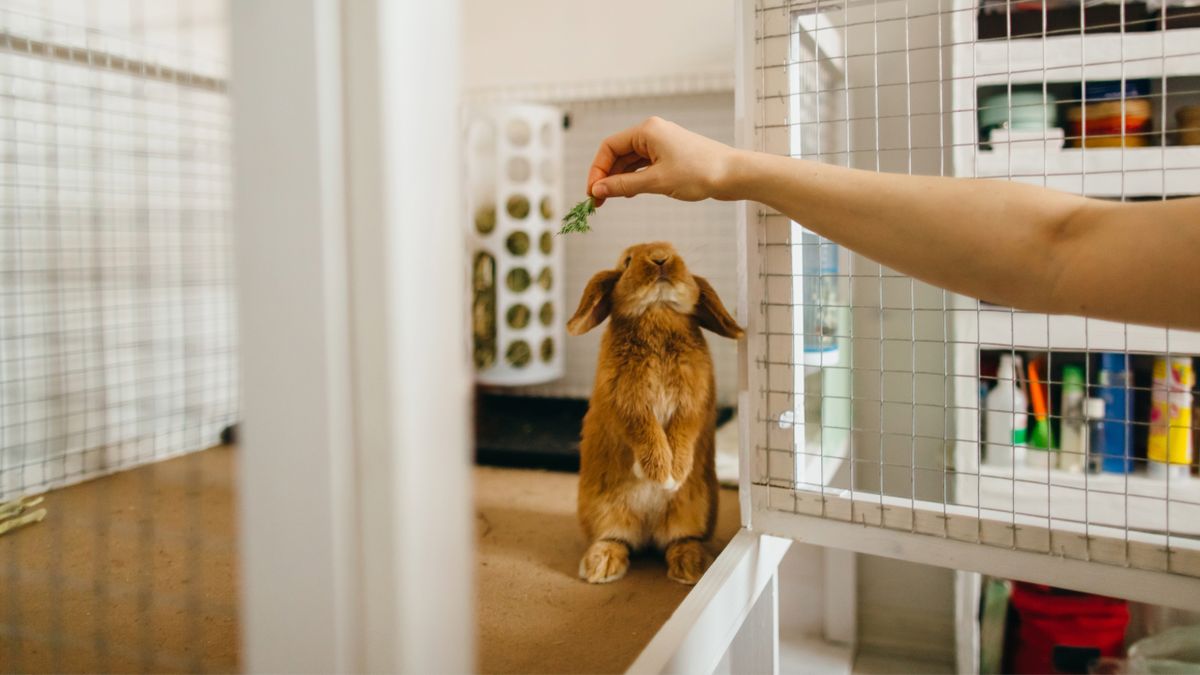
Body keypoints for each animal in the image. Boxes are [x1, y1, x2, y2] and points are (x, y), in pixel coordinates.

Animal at [567, 241, 743, 585]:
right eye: (627, 261)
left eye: (678, 253)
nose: (661, 259)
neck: (657, 311)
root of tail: (648, 531)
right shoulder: (626, 401)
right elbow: (645, 431)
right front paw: (661, 472)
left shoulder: (694, 400)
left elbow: (683, 430)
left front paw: (675, 471)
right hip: (602, 510)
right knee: (614, 539)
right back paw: (601, 566)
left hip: (695, 508)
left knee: (679, 539)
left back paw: (691, 567)